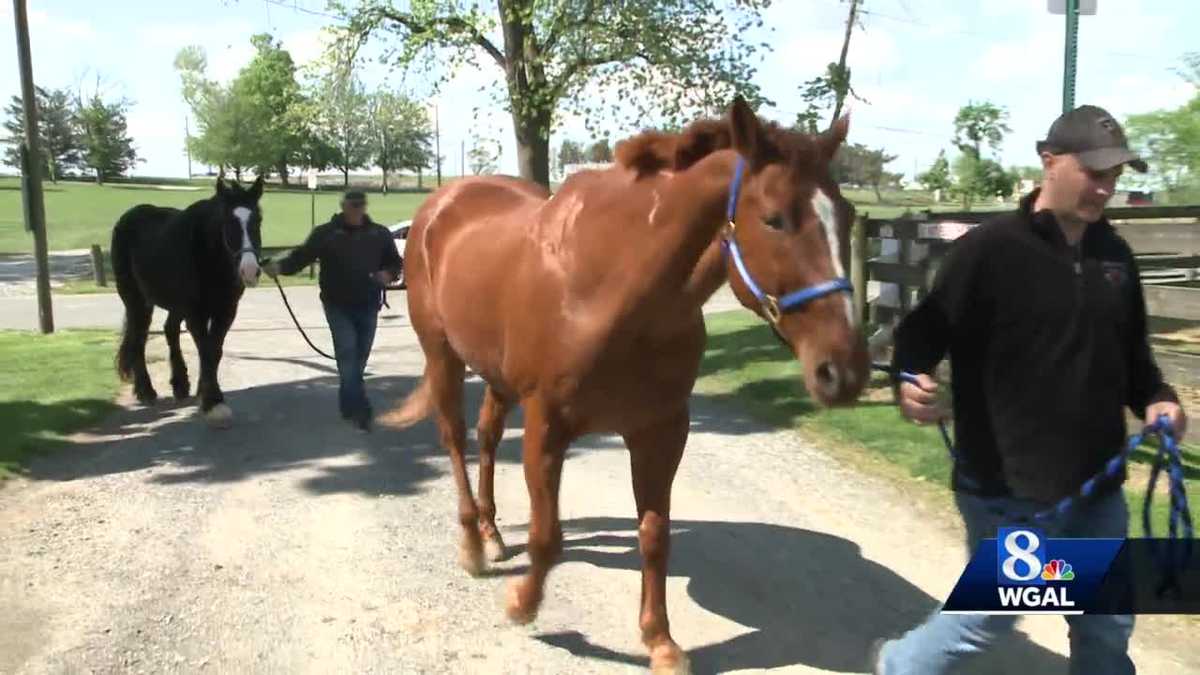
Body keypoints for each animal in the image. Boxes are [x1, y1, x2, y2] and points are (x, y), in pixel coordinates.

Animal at [111, 175, 265, 428]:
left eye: (258, 220)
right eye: (227, 222)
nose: (250, 270)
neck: (210, 257)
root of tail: (130, 216)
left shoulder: (226, 310)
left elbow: (215, 350)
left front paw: (206, 393)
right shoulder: (195, 312)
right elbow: (206, 351)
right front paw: (213, 403)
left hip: (174, 305)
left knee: (170, 330)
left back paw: (180, 384)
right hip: (136, 299)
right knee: (138, 338)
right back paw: (146, 390)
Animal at [380, 96, 870, 672]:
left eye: (847, 216)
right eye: (774, 219)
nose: (844, 371)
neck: (610, 289)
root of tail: (439, 205)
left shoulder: (661, 430)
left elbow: (654, 534)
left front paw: (660, 640)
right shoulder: (548, 425)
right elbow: (548, 536)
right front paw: (523, 604)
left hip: (496, 376)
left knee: (486, 437)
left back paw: (492, 533)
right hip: (444, 356)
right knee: (456, 438)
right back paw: (473, 548)